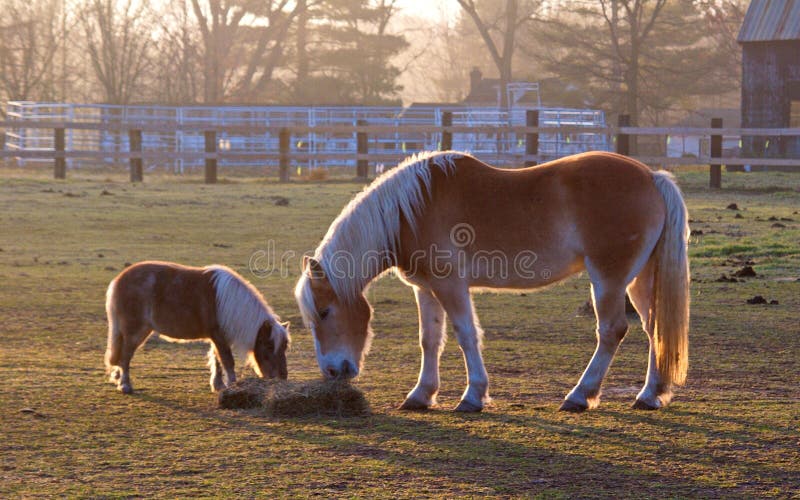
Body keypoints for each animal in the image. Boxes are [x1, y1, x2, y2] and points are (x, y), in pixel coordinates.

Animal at [105, 261, 290, 394]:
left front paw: (218, 385)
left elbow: (216, 359)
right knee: (125, 356)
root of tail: (118, 280)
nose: (281, 378)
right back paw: (125, 385)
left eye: (284, 347)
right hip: (135, 332)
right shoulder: (219, 337)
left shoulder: (217, 338)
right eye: (269, 346)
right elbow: (227, 361)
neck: (229, 303)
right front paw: (232, 386)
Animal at [295, 150, 689, 413]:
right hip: (638, 280)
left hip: (608, 279)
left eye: (325, 311)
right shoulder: (425, 288)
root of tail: (651, 177)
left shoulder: (451, 285)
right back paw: (650, 395)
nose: (333, 371)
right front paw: (421, 394)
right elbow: (429, 340)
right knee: (654, 329)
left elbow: (466, 335)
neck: (411, 210)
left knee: (611, 331)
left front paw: (473, 396)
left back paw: (580, 395)